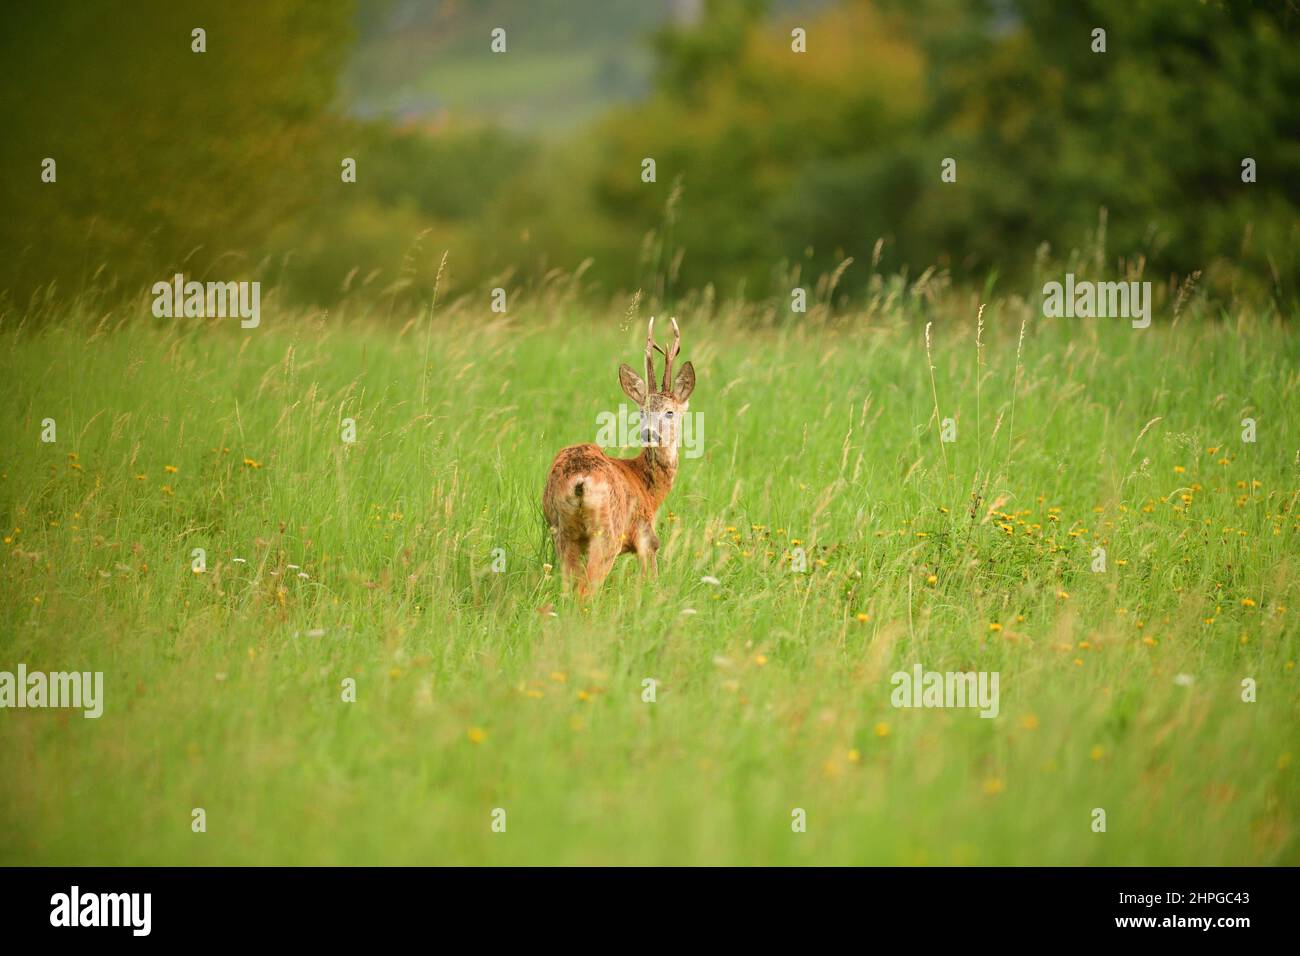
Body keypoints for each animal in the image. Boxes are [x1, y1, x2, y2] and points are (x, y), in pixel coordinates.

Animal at [542, 316, 695, 598]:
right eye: (642, 411)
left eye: (669, 412)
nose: (649, 432)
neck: (648, 487)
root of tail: (580, 480)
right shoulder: (646, 537)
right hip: (607, 533)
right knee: (587, 587)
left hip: (561, 529)